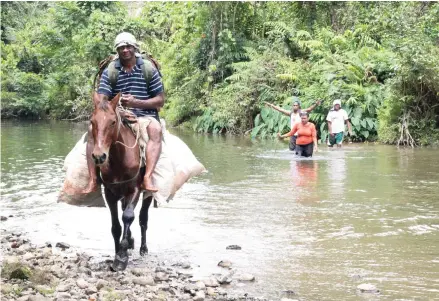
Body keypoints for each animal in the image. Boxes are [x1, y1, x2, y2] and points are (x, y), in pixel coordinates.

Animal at [89, 91, 153, 270]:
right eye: (92, 121)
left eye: (112, 122)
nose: (99, 156)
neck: (119, 159)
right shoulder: (110, 193)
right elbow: (116, 226)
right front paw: (118, 252)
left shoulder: (134, 190)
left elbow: (128, 217)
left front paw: (122, 257)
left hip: (147, 193)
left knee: (143, 218)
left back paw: (143, 248)